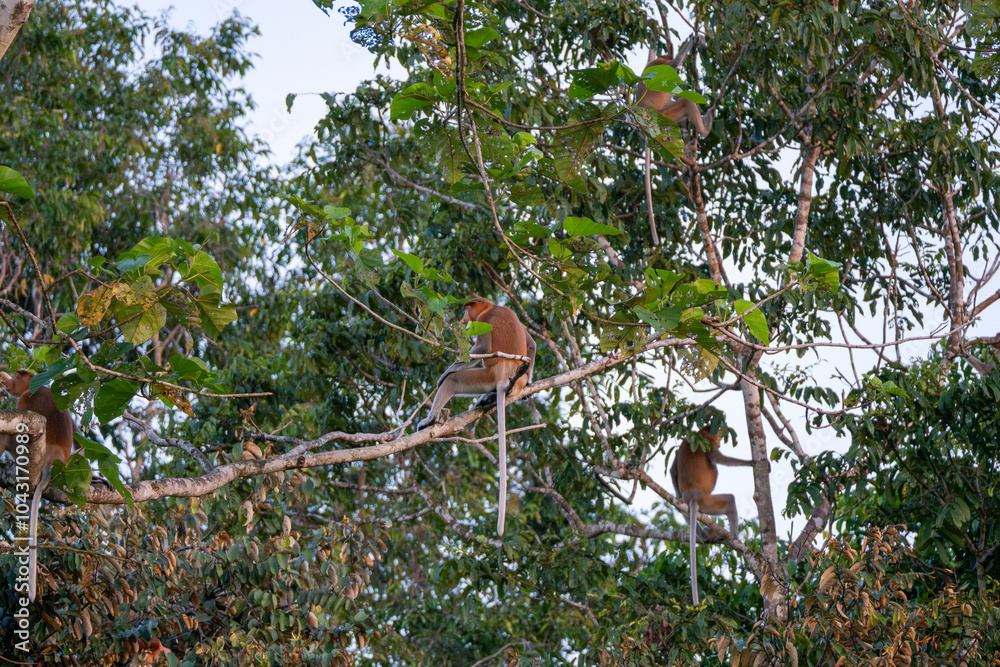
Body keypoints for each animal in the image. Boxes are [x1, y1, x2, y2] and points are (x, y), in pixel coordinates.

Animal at [417, 297, 536, 535]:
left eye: (467, 308)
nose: (463, 318)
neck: (494, 306)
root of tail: (505, 377)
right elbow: (532, 343)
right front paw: (530, 380)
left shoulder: (485, 319)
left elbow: (483, 349)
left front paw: (446, 372)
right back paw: (493, 397)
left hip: (488, 375)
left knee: (454, 381)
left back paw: (431, 419)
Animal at [634, 34, 714, 245]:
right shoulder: (662, 65)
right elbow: (675, 63)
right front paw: (695, 41)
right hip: (663, 115)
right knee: (685, 102)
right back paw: (704, 130)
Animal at [670, 427, 755, 604]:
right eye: (718, 437)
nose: (720, 442)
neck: (699, 431)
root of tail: (693, 496)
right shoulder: (707, 441)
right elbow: (717, 458)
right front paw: (751, 462)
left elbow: (672, 469)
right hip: (707, 501)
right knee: (730, 500)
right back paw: (734, 539)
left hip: (690, 503)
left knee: (680, 507)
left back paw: (703, 536)